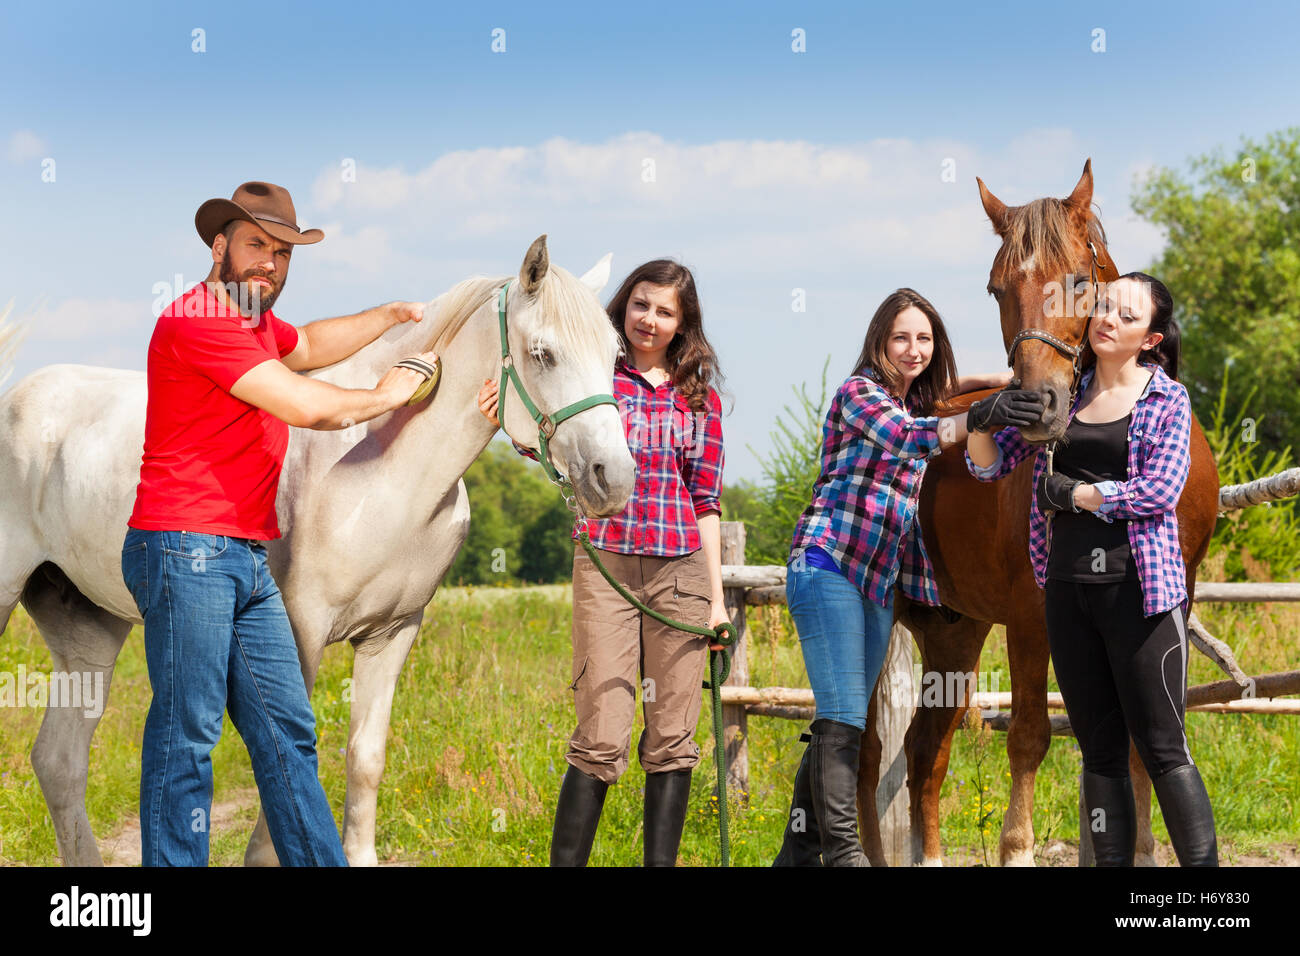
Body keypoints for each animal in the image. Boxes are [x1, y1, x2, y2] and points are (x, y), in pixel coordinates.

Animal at [0, 235, 636, 865]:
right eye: (542, 353)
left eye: (614, 355)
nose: (613, 479)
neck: (382, 472)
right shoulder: (300, 630)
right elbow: (282, 754)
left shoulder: (392, 634)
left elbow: (365, 757)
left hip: (89, 628)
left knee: (59, 761)